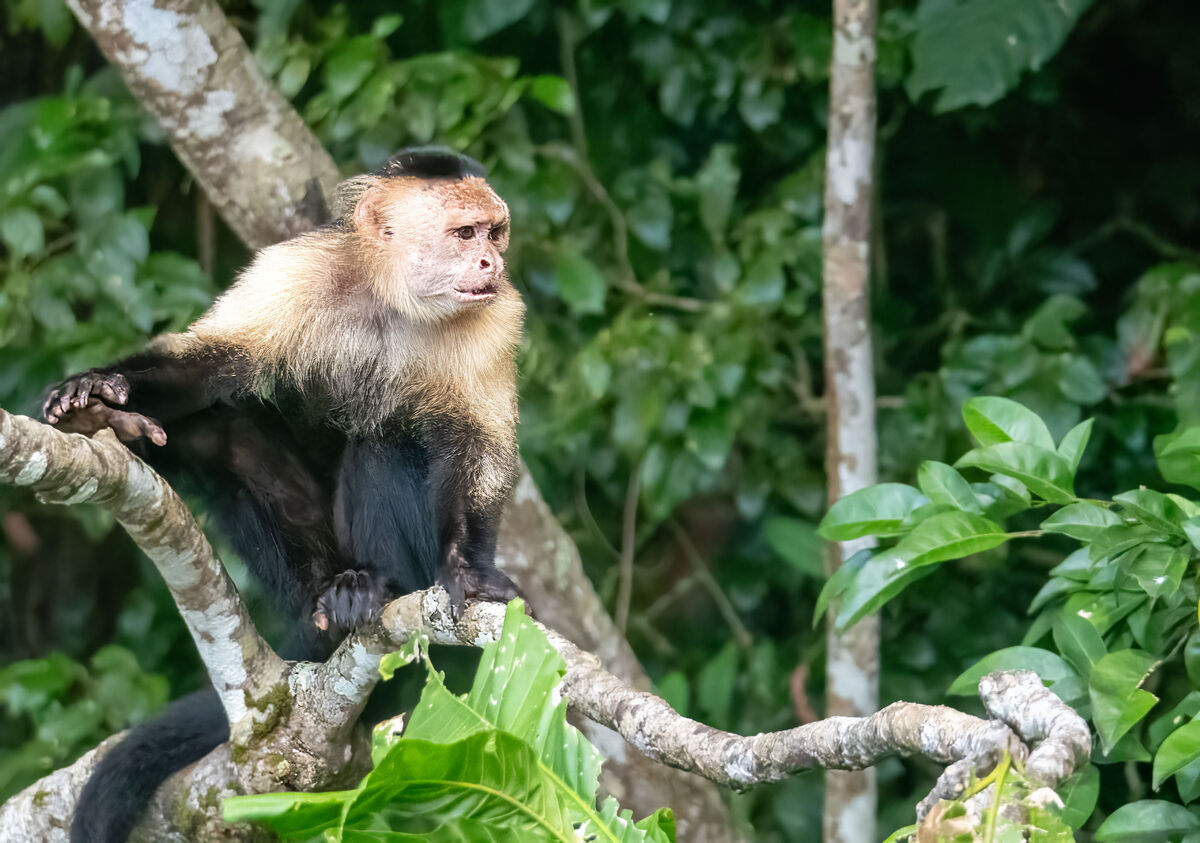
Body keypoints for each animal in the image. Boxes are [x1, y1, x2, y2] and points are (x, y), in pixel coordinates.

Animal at [40, 148, 526, 842]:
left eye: (493, 233)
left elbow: (477, 448)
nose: (491, 262)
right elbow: (210, 363)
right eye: (465, 235)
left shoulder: (494, 317)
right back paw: (326, 604)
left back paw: (373, 586)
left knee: (386, 442)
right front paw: (101, 393)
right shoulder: (295, 273)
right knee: (226, 434)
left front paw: (468, 567)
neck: (396, 301)